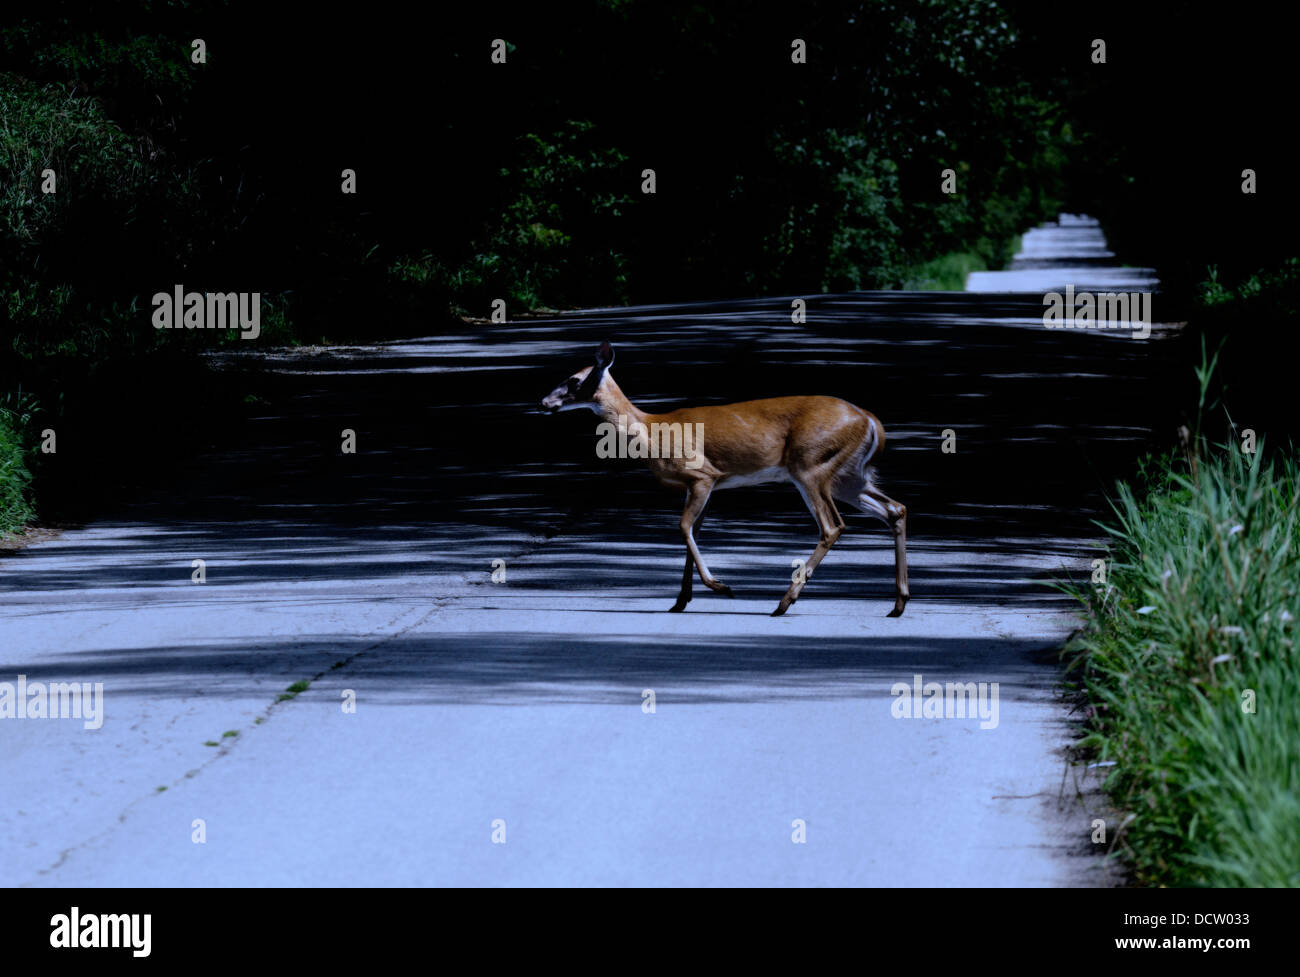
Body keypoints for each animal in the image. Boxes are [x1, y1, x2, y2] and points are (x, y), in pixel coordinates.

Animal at [540, 341, 909, 617]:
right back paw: (898, 604)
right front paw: (680, 601)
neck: (649, 431)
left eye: (573, 380)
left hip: (811, 466)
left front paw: (719, 586)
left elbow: (683, 528)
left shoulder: (702, 475)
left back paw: (784, 601)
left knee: (833, 526)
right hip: (849, 476)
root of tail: (872, 421)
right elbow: (694, 531)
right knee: (895, 509)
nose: (544, 401)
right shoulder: (707, 485)